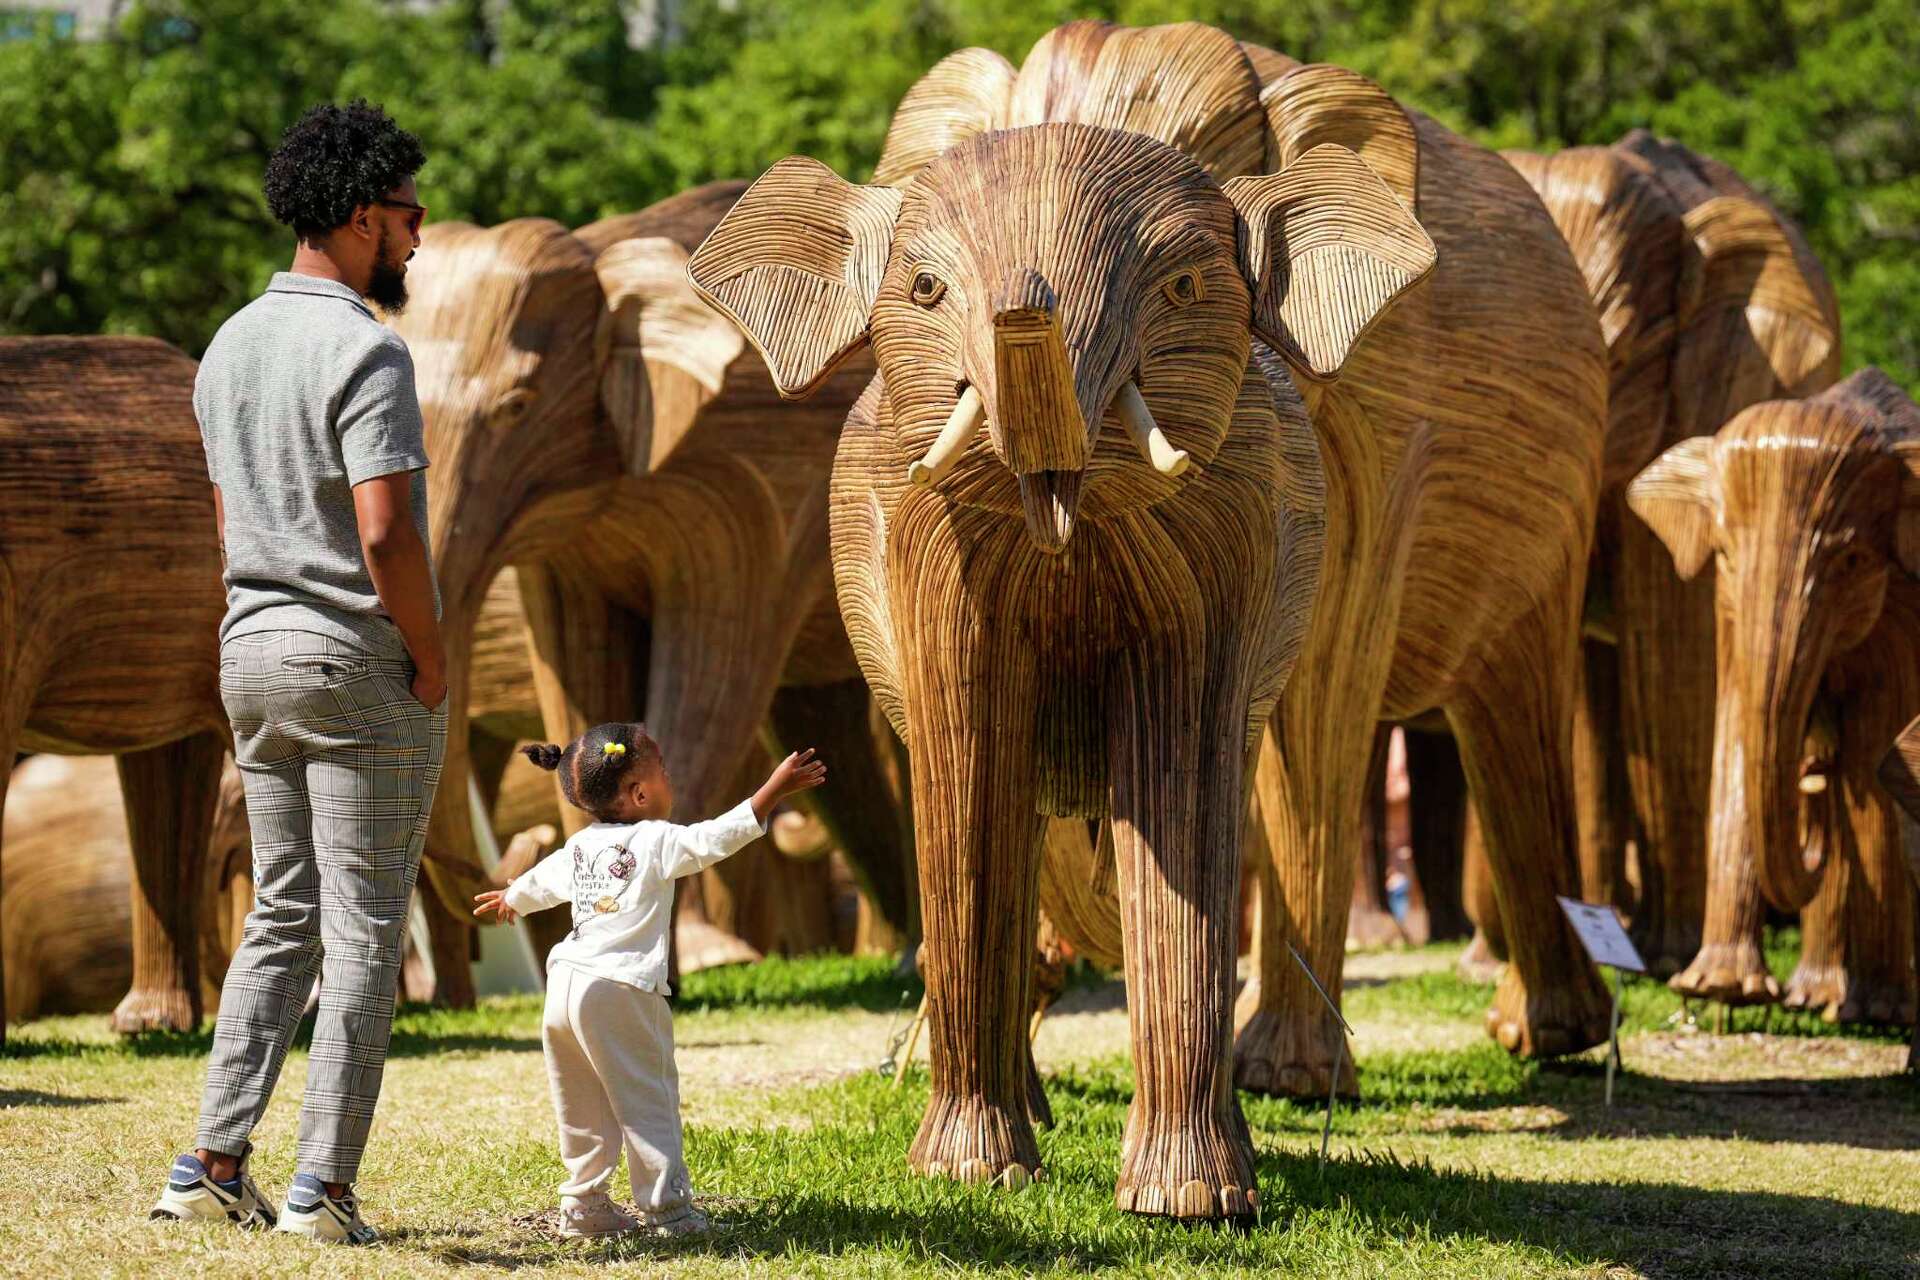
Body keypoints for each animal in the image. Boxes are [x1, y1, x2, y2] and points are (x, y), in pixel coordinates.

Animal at [388, 183, 917, 987]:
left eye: (517, 404)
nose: (512, 859)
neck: (605, 249)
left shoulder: (744, 491)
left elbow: (711, 686)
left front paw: (701, 962)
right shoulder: (570, 546)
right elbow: (578, 678)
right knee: (831, 724)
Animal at [688, 19, 1609, 1214]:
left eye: (1183, 282)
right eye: (924, 287)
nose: (1019, 304)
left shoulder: (1346, 445)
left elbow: (1253, 735)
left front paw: (1206, 1186)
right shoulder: (913, 536)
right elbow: (971, 759)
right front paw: (976, 1174)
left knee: (1504, 699)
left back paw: (1539, 1043)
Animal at [1630, 368, 1920, 1028]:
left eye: (1852, 559)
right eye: (1726, 553)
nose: (1809, 772)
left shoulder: (1903, 607)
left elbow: (1876, 752)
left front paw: (1881, 1013)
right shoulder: (1727, 605)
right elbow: (1737, 732)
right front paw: (1718, 990)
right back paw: (1817, 998)